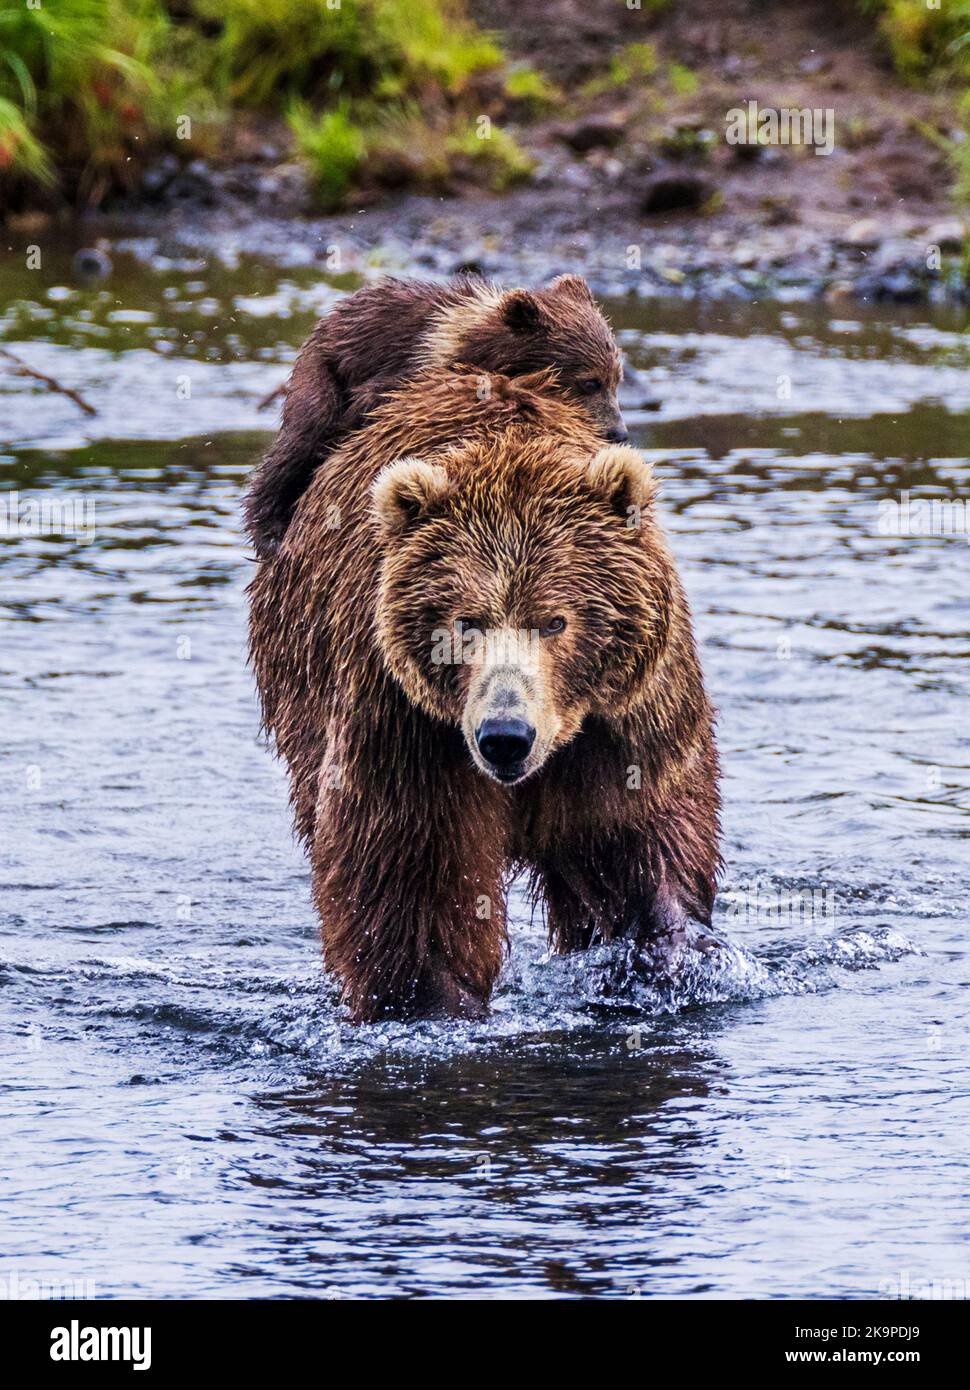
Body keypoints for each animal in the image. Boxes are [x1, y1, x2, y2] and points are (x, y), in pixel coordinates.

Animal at [244, 273, 627, 559]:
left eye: (616, 378)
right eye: (590, 382)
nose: (618, 432)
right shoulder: (399, 367)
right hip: (322, 370)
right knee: (302, 437)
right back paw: (270, 531)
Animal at [248, 367, 720, 1023]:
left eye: (555, 620)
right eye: (466, 622)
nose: (505, 737)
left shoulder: (625, 720)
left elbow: (639, 838)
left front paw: (667, 954)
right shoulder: (406, 721)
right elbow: (412, 875)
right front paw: (427, 1000)